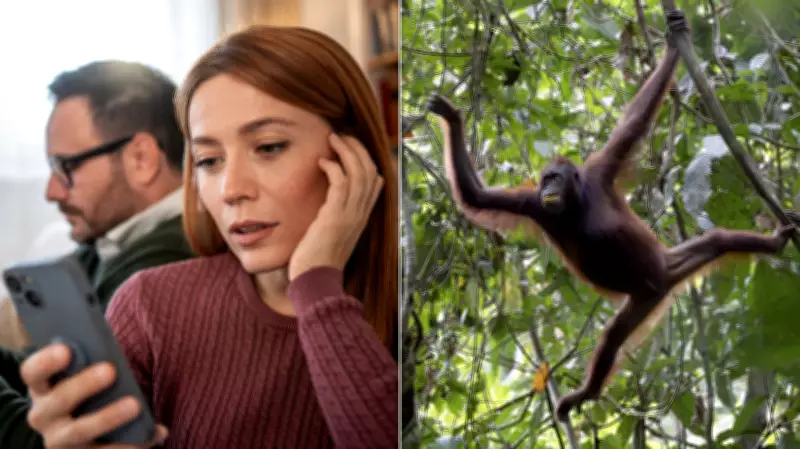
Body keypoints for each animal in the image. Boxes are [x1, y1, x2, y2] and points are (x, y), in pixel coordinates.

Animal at [425, 9, 796, 422]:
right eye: (544, 179)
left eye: (555, 177)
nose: (547, 187)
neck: (575, 205)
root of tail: (664, 277)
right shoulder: (532, 205)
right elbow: (476, 195)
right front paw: (453, 119)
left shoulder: (601, 172)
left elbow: (634, 123)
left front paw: (674, 45)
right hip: (645, 298)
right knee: (618, 333)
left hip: (661, 275)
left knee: (712, 246)